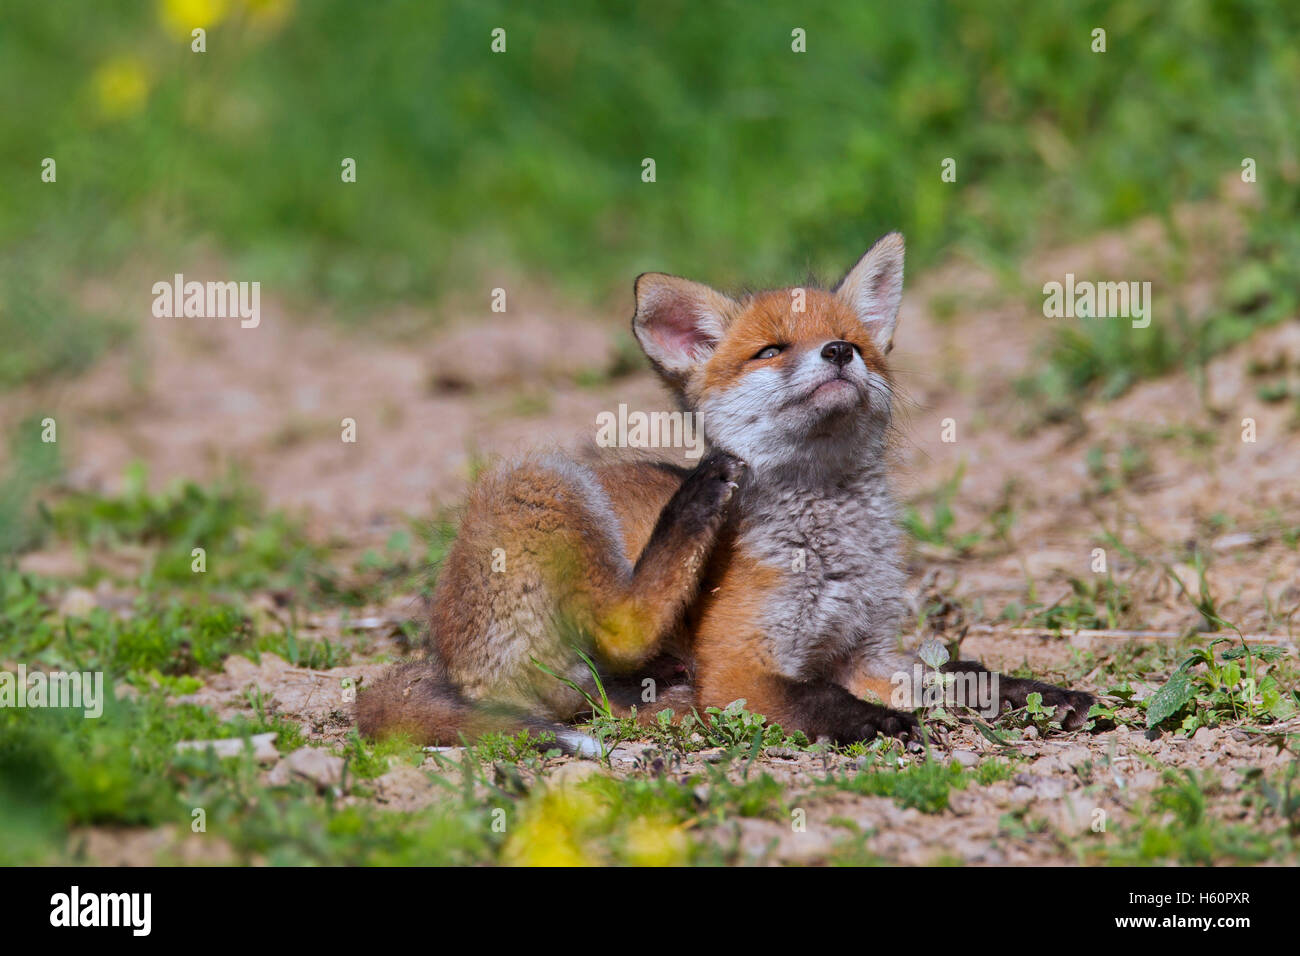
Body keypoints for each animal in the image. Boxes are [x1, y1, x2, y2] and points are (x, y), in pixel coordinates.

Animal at [357, 233, 1094, 754]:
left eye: (854, 342)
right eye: (771, 350)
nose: (838, 353)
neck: (829, 548)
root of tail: (439, 656)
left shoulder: (866, 653)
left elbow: (963, 675)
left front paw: (1039, 693)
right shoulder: (740, 666)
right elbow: (818, 700)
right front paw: (883, 724)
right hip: (542, 479)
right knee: (620, 628)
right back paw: (695, 503)